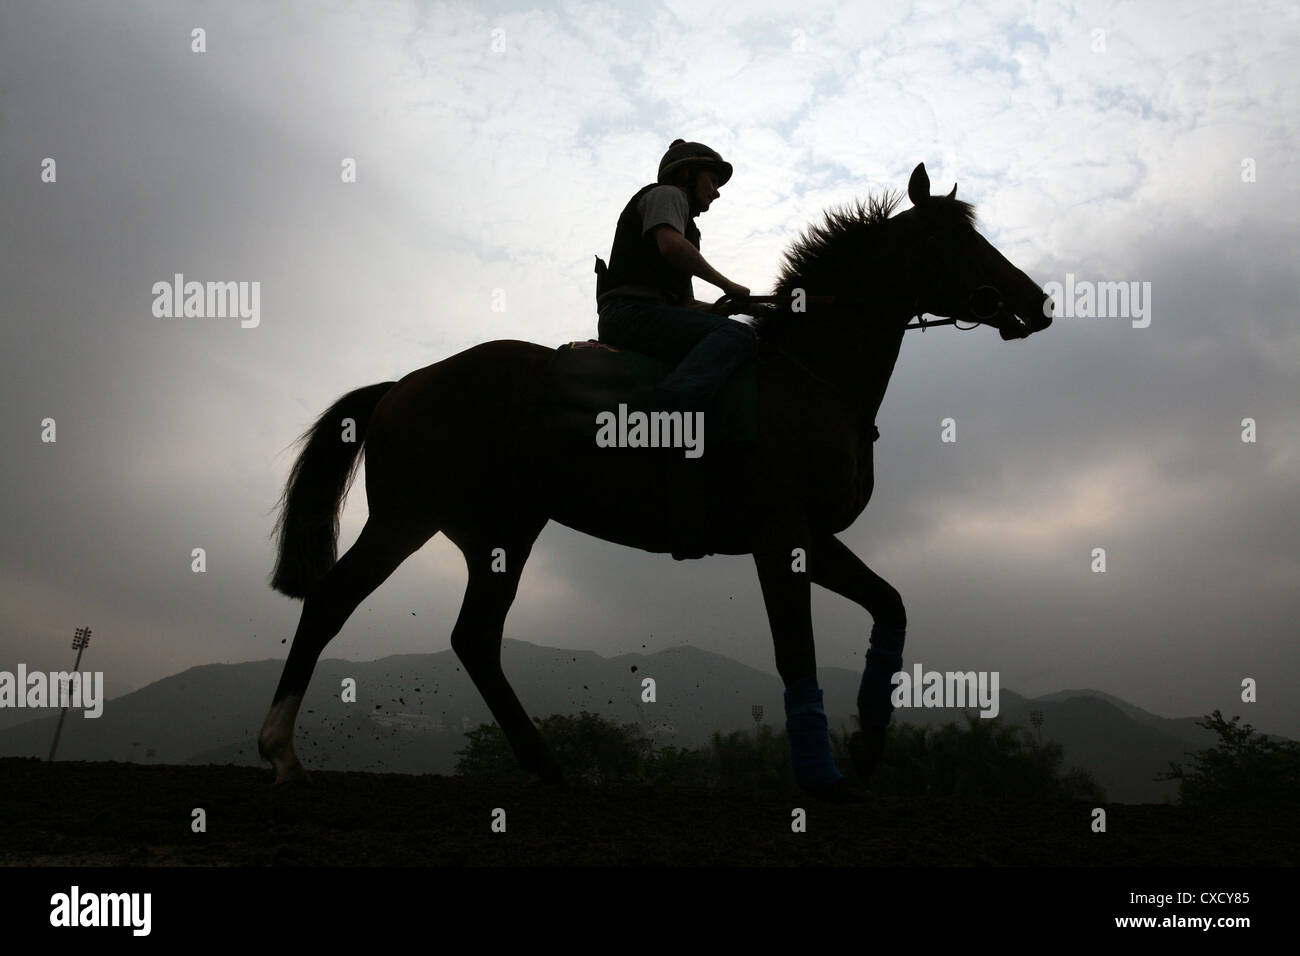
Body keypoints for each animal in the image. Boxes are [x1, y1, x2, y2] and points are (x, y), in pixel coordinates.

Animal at [257, 162, 1054, 802]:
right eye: (955, 239)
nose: (1037, 301)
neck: (806, 379)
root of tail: (403, 384)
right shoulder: (781, 538)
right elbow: (795, 649)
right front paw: (823, 776)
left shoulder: (814, 539)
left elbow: (891, 606)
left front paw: (867, 743)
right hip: (408, 517)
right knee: (332, 602)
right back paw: (282, 755)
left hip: (501, 533)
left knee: (475, 638)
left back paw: (548, 767)